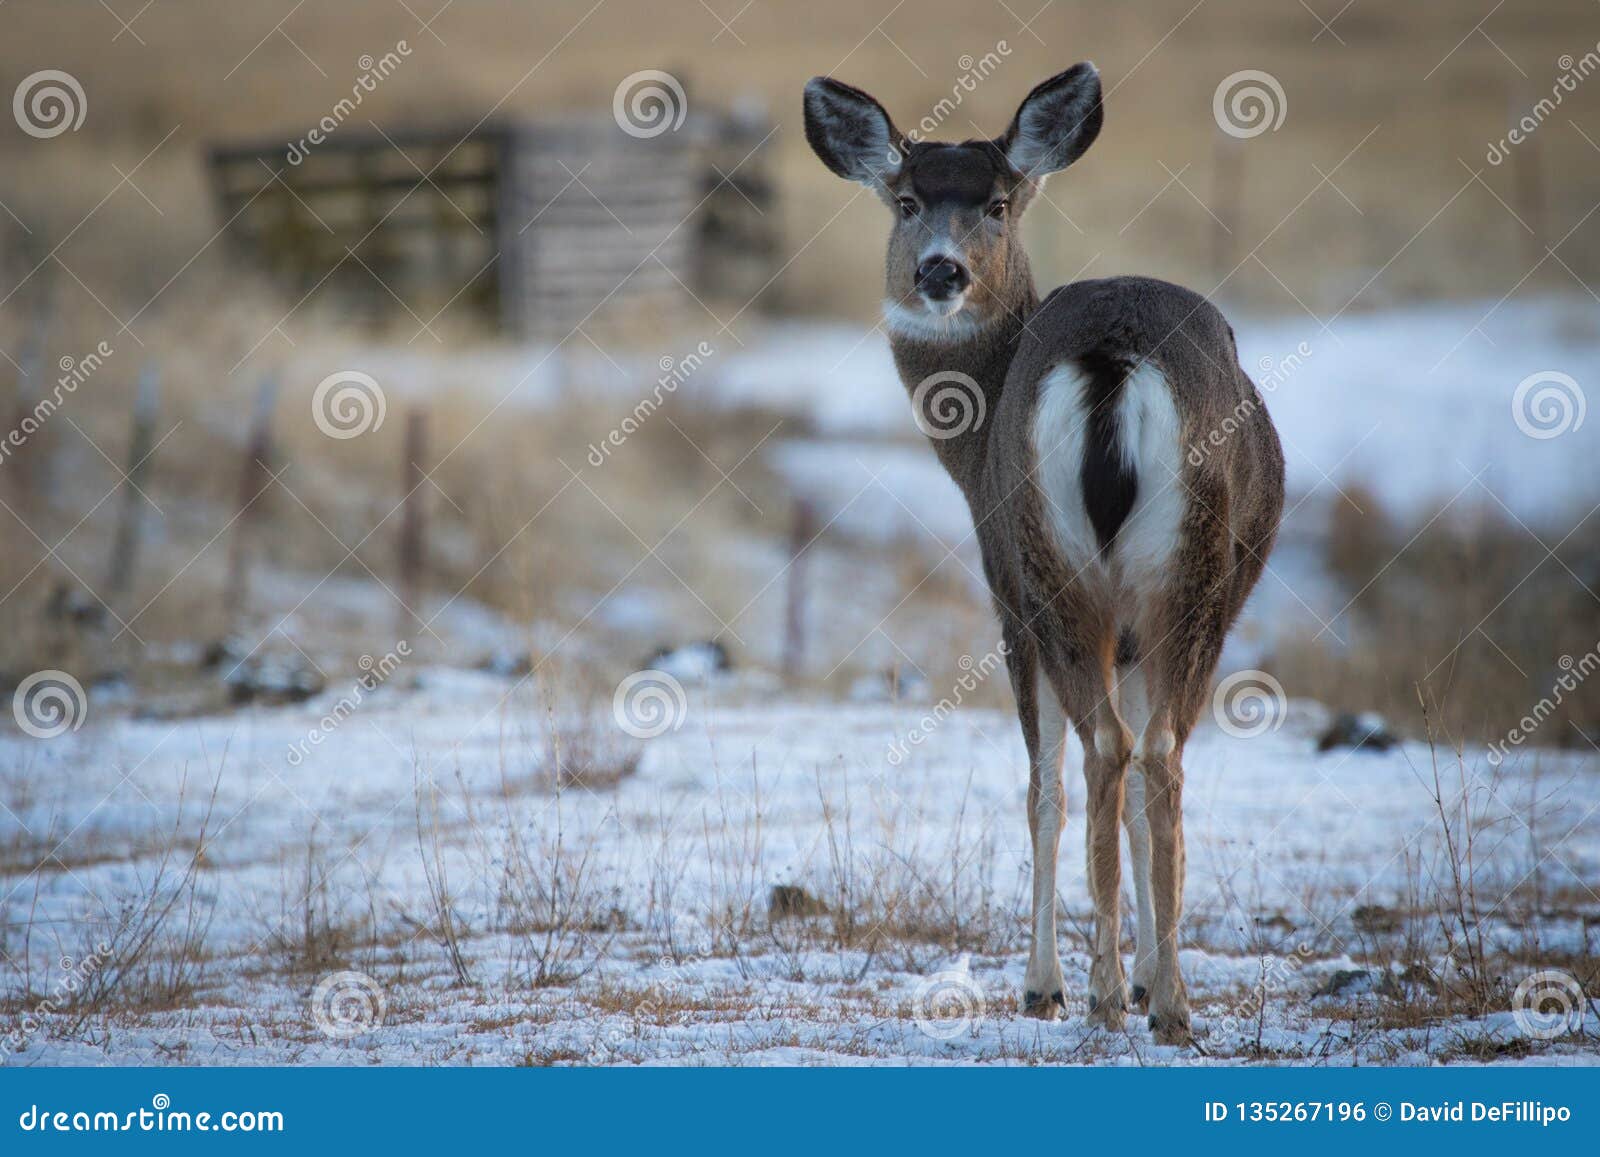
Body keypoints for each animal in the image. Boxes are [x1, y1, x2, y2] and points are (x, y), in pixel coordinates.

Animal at [803, 63, 1284, 1044]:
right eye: (906, 200)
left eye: (995, 203)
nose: (938, 270)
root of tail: (1113, 355)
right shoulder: (1131, 632)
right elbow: (1131, 795)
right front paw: (1143, 975)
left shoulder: (1004, 592)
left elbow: (1039, 788)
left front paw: (1047, 984)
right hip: (1187, 581)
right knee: (1157, 753)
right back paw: (1168, 1002)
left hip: (1058, 568)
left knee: (1102, 751)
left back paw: (1094, 994)